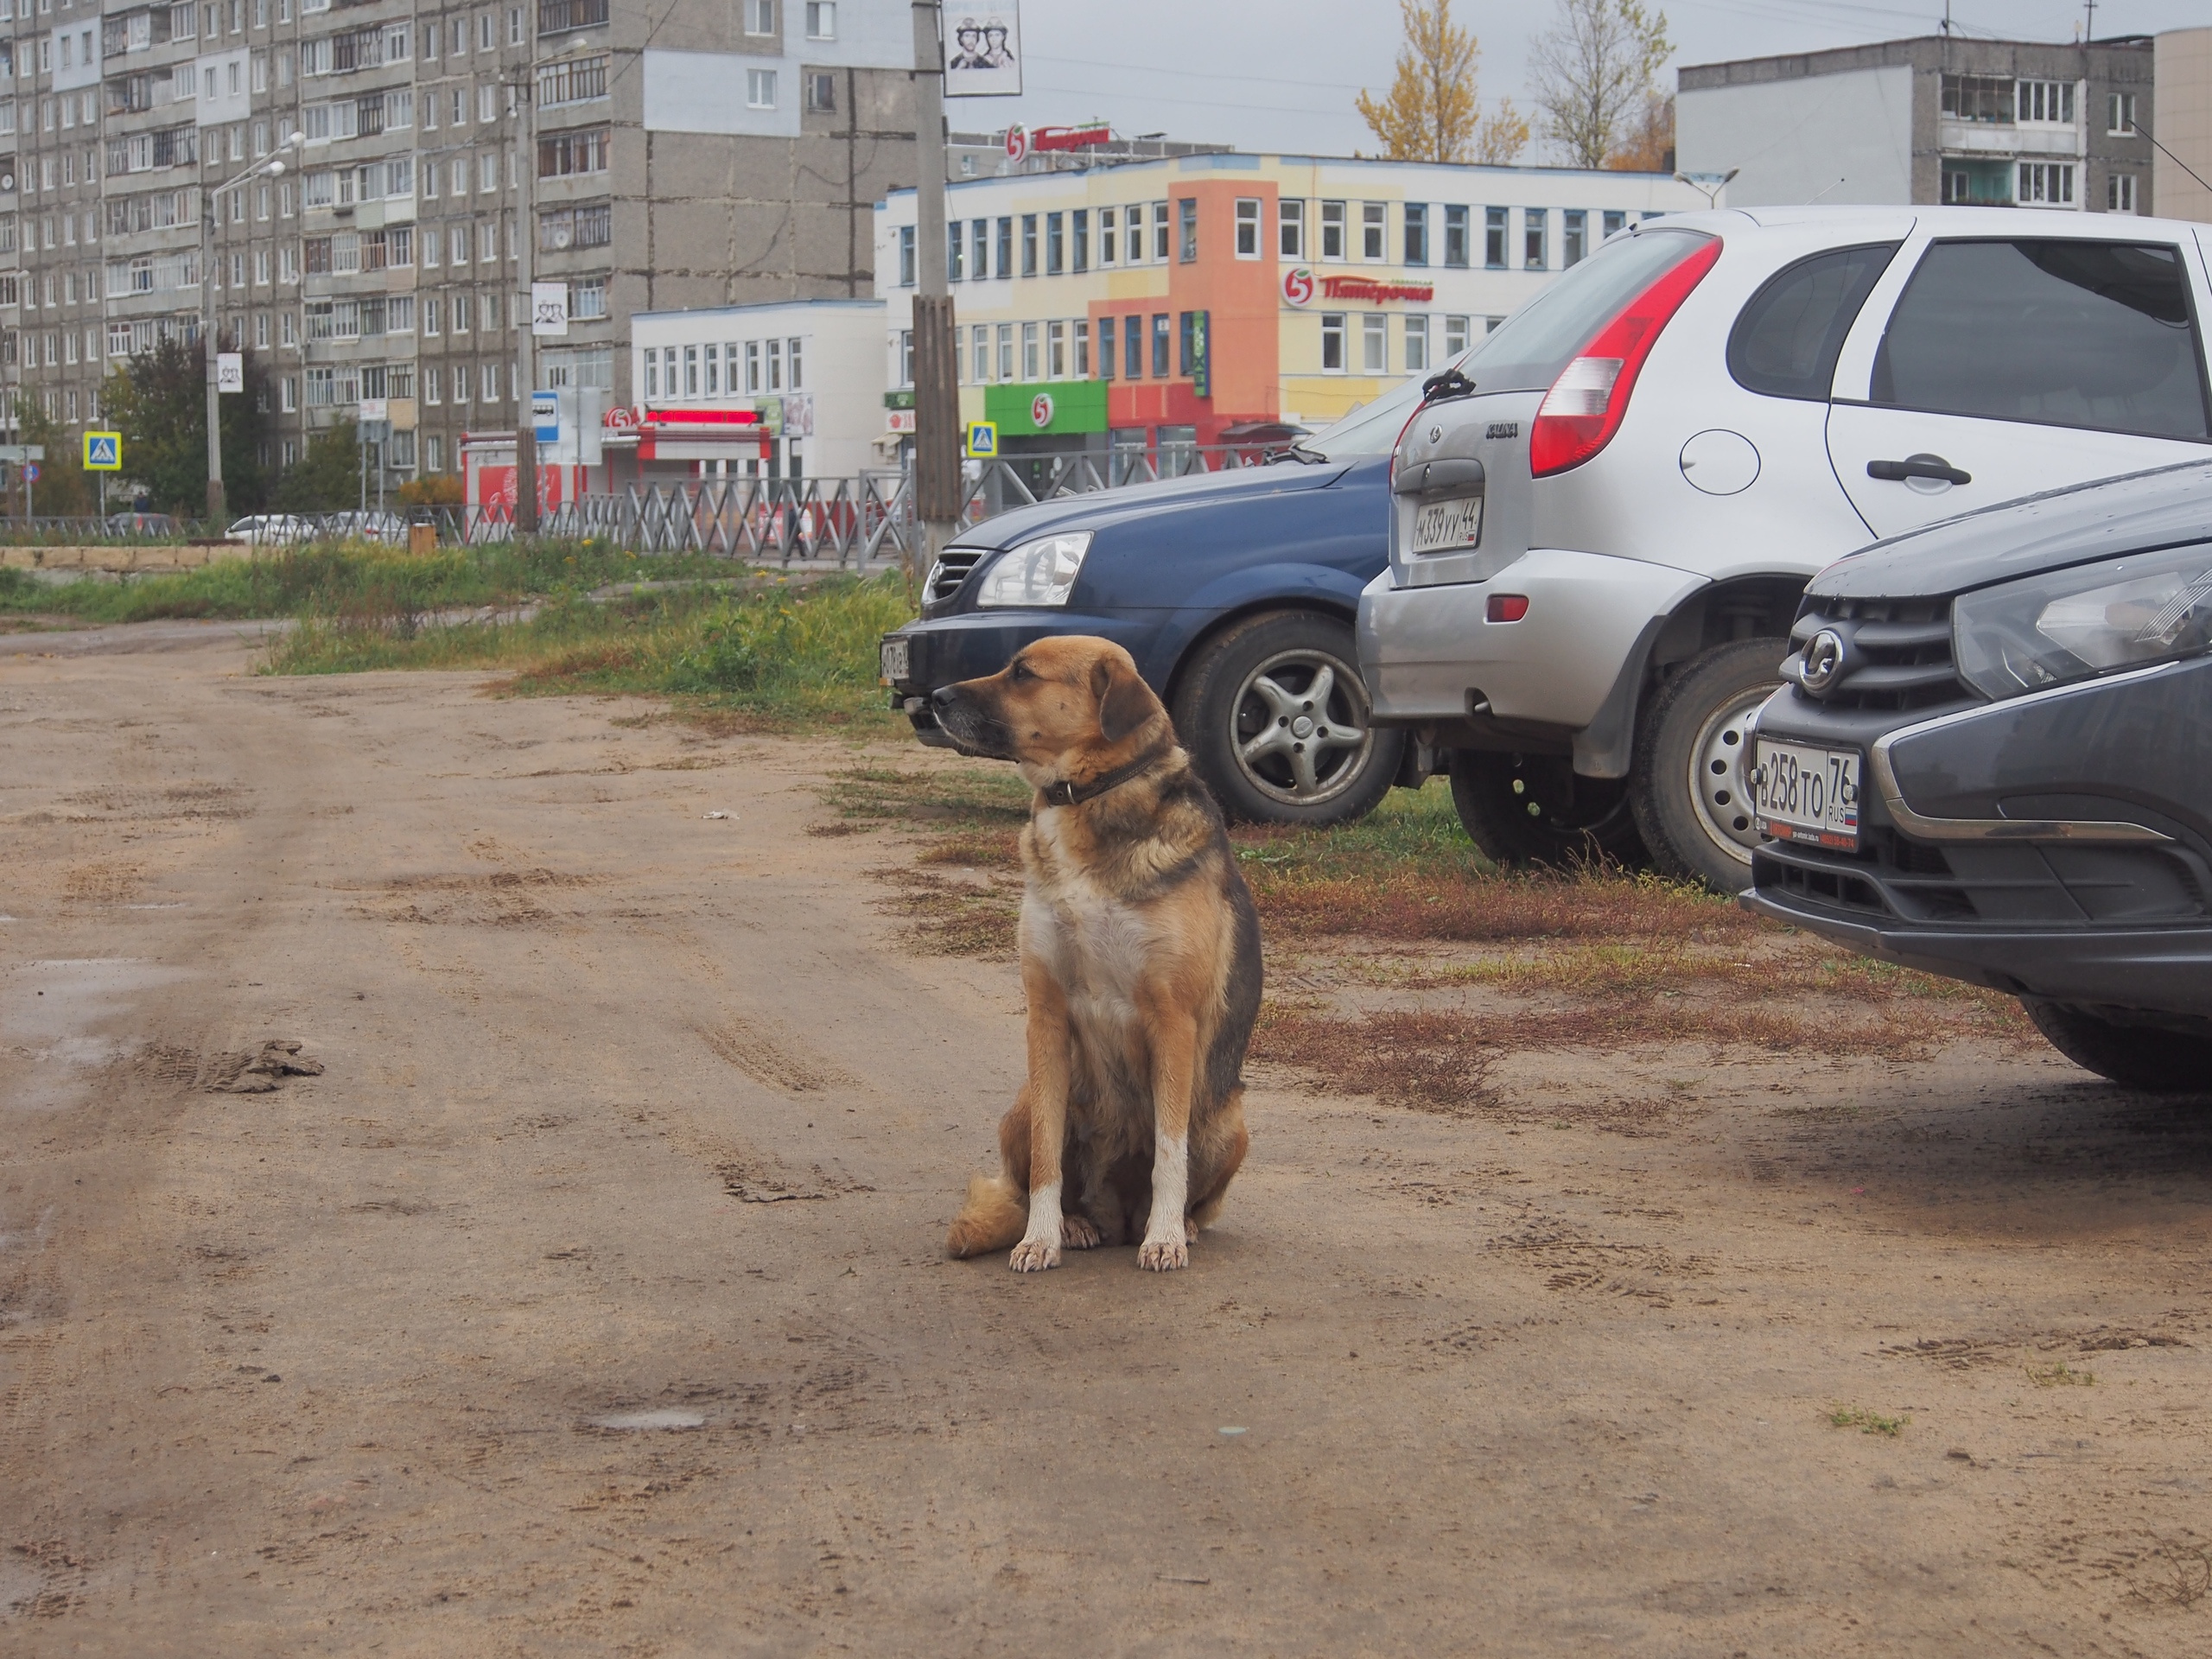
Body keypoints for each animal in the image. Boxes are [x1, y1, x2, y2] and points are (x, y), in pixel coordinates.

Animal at [933, 637, 1265, 1274]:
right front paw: (1040, 1238)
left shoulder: (1172, 1019)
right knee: (1045, 1176)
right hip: (1023, 1100)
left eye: (1023, 674)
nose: (934, 696)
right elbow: (1046, 1161)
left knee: (1194, 1188)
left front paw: (1165, 1238)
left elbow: (1169, 1154)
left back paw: (1177, 1226)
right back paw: (1075, 1224)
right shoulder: (1045, 1015)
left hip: (1230, 1120)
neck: (1086, 798)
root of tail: (1119, 1218)